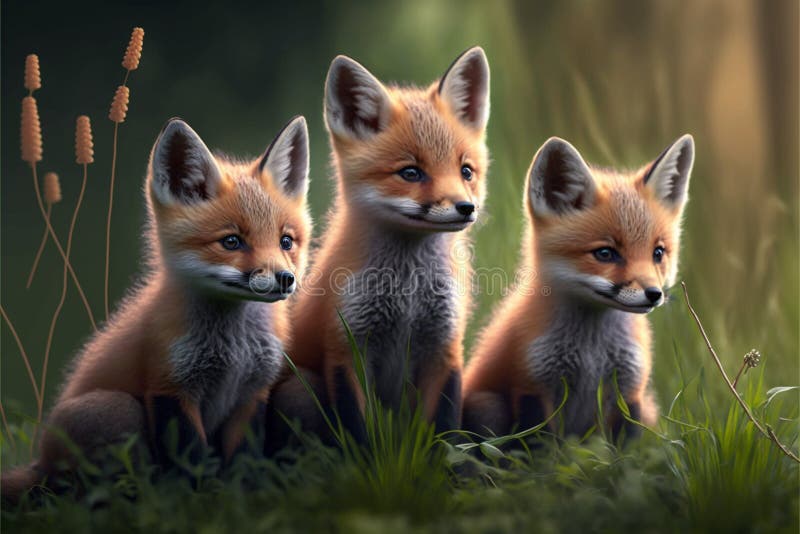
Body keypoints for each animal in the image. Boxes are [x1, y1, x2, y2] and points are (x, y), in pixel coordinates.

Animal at [2, 116, 312, 501]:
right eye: (231, 242)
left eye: (286, 241)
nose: (286, 279)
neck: (233, 351)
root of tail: (40, 462)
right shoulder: (169, 387)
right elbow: (191, 462)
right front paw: (202, 500)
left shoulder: (253, 392)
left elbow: (243, 461)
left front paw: (243, 496)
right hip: (116, 410)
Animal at [269, 47, 491, 443]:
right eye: (411, 173)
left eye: (466, 171)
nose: (466, 208)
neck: (407, 297)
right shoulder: (347, 347)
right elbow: (361, 433)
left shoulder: (445, 348)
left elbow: (441, 432)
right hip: (298, 390)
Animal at [462, 134, 695, 440]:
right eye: (605, 253)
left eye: (658, 253)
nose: (654, 295)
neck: (591, 353)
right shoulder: (532, 389)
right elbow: (541, 447)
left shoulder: (630, 394)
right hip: (487, 405)